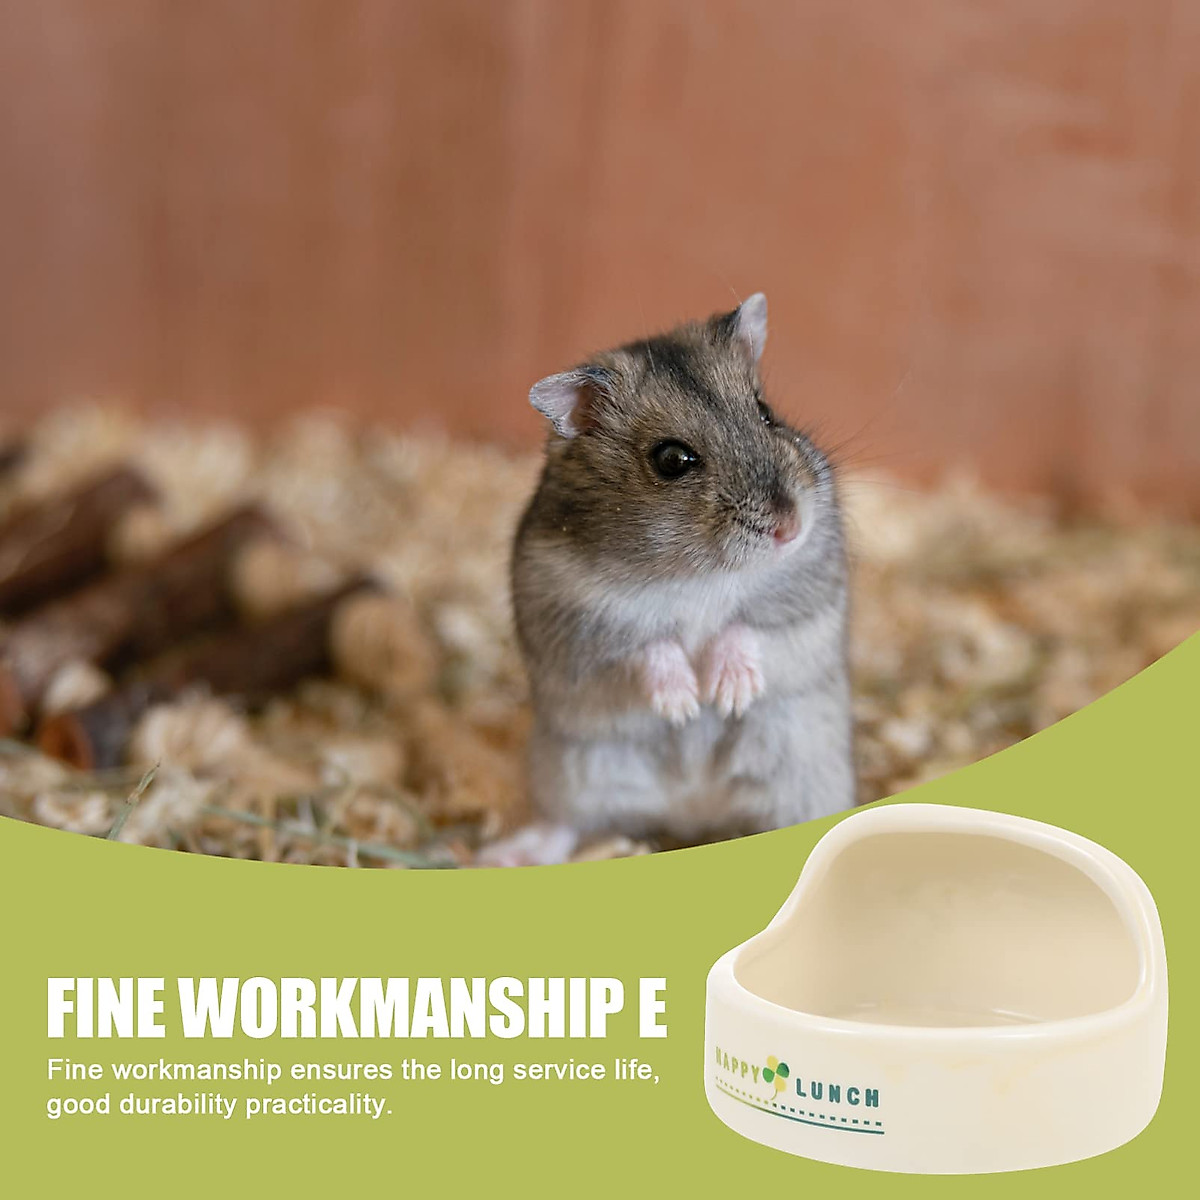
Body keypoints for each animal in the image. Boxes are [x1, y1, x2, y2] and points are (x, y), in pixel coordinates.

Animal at [491, 294, 853, 865]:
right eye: (671, 460)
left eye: (766, 412)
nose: (790, 527)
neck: (698, 572)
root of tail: (692, 811)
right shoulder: (577, 621)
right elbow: (648, 646)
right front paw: (684, 706)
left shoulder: (808, 596)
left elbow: (747, 628)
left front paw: (728, 696)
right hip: (570, 772)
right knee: (566, 824)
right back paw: (506, 855)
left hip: (807, 773)